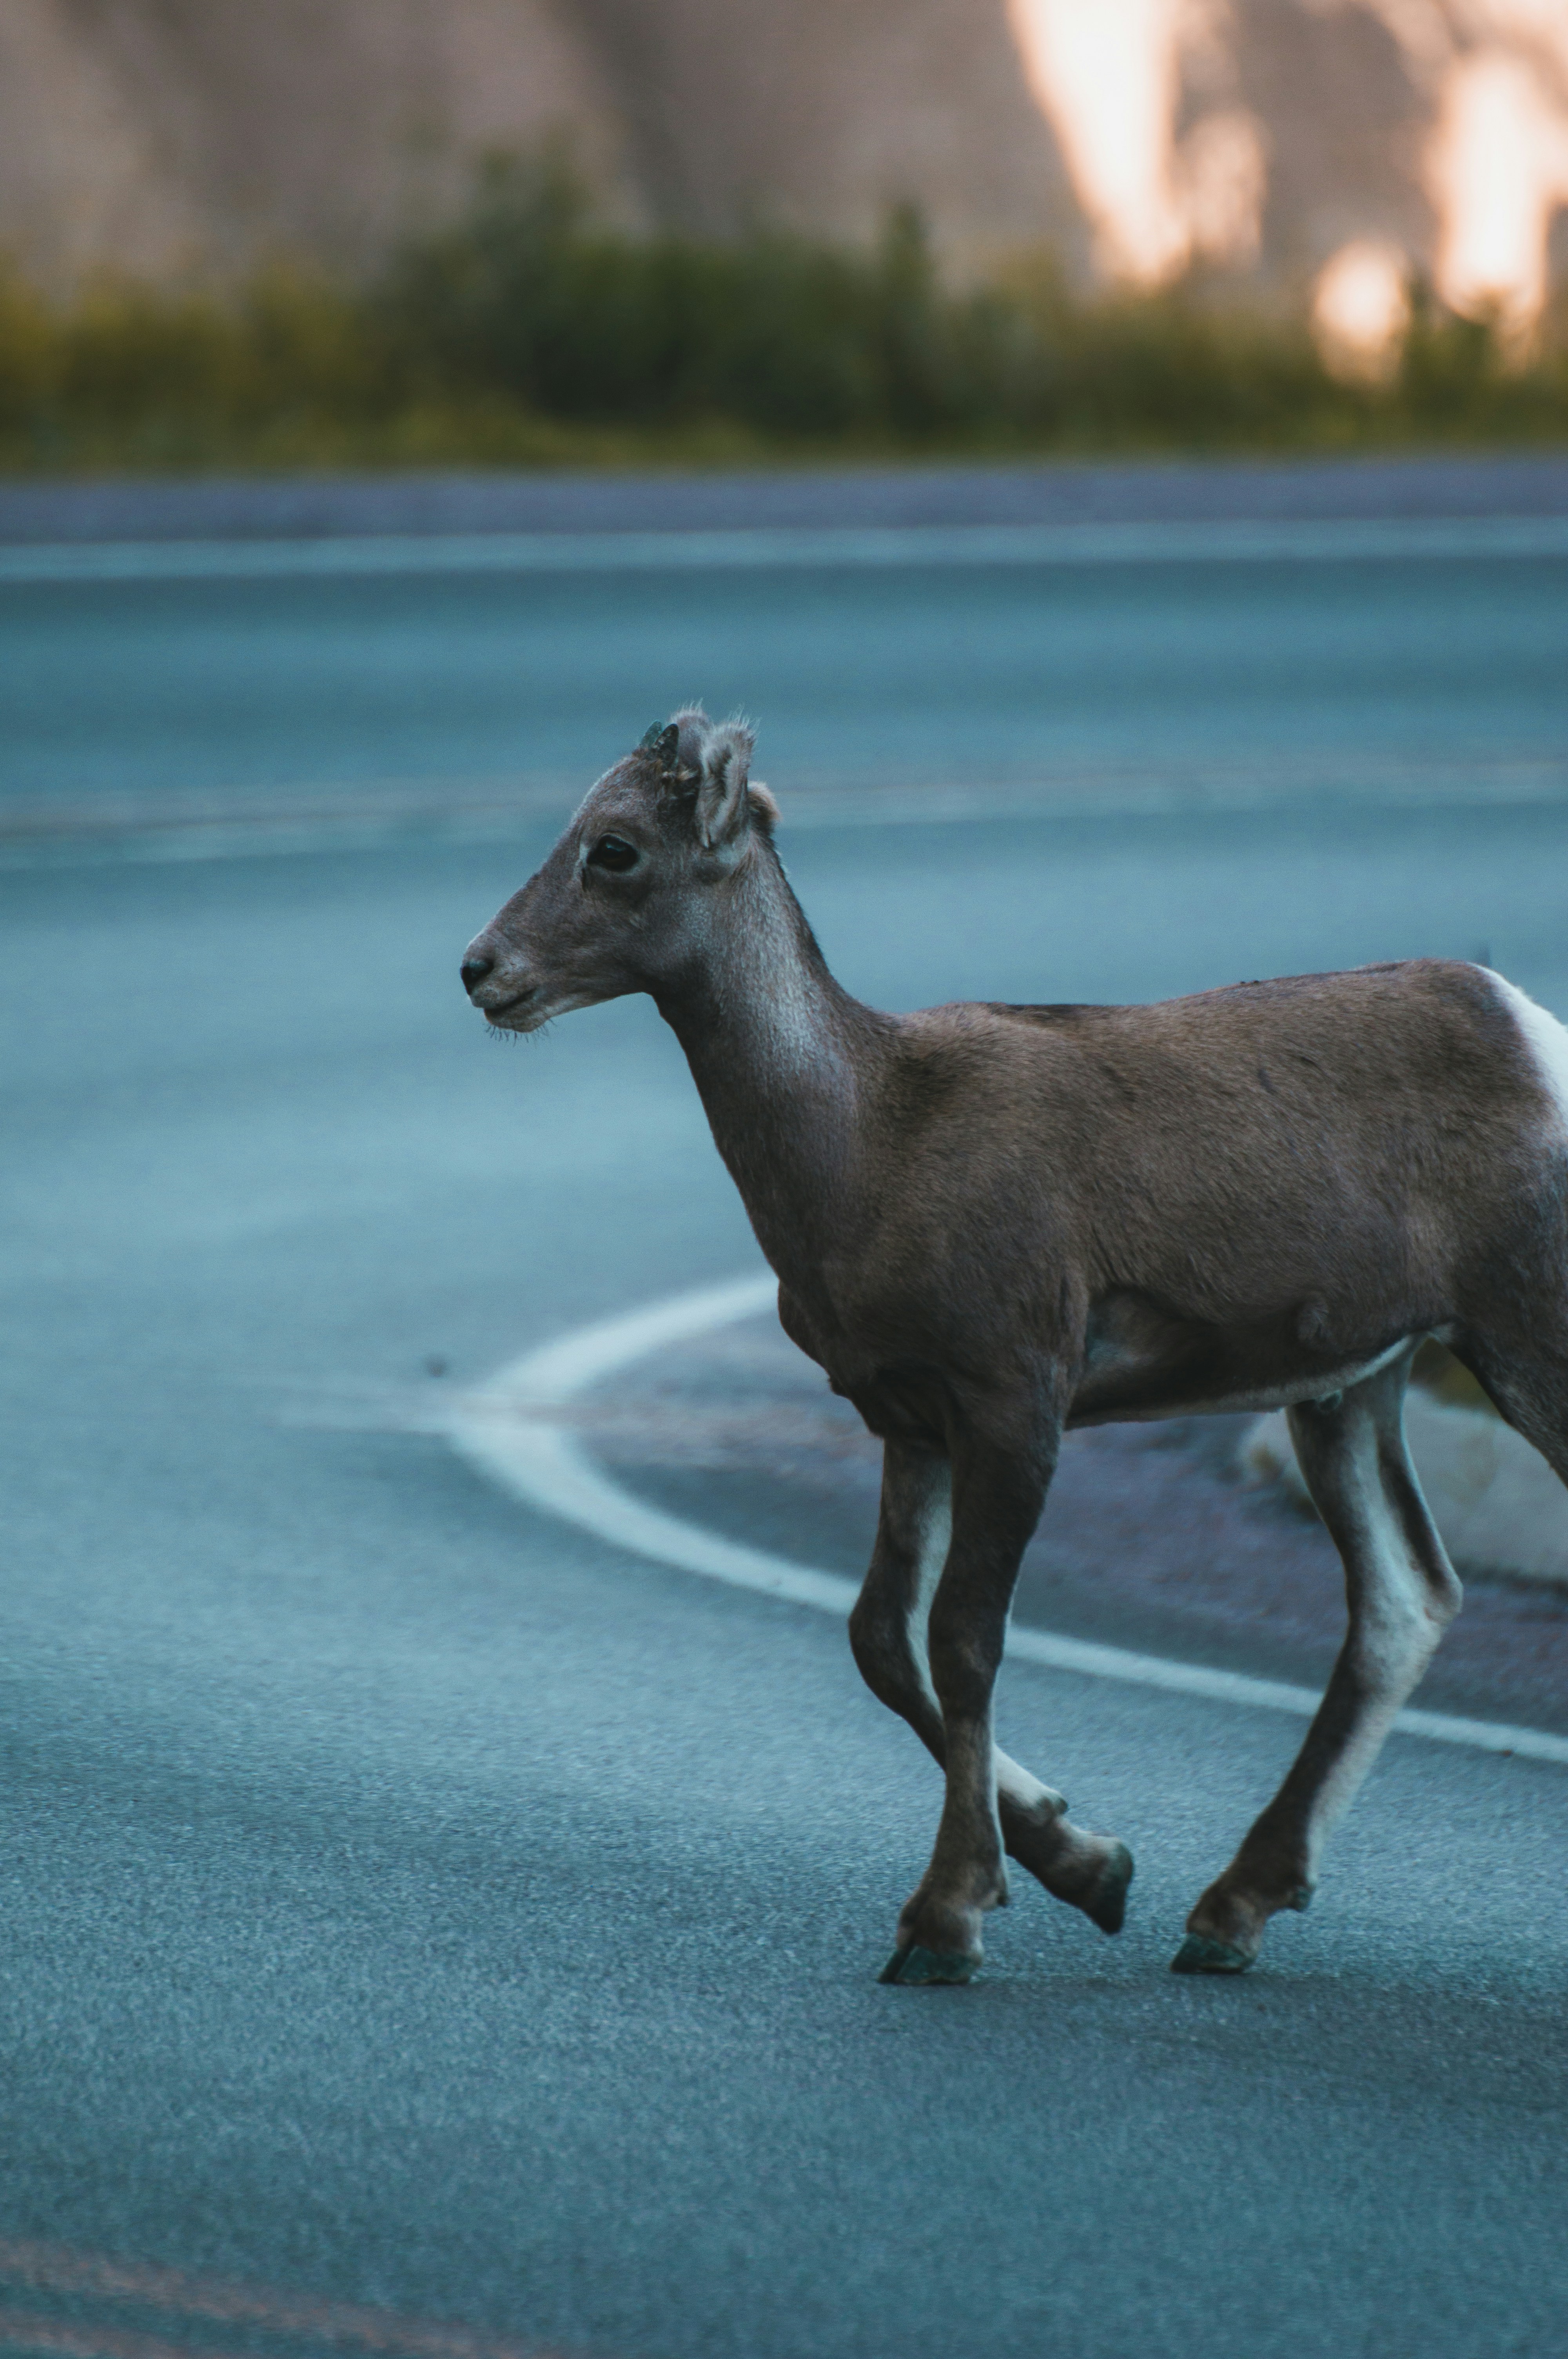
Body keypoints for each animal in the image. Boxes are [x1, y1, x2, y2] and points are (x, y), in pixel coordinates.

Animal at [461, 706, 1568, 1985]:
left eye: (617, 848)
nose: (482, 970)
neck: (865, 1145)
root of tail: (1536, 1038)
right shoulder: (910, 1421)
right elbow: (881, 1640)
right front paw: (1092, 1868)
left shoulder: (1014, 1401)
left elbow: (963, 1640)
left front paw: (947, 1921)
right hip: (1350, 1388)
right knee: (1404, 1597)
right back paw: (1228, 1910)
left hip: (1519, 1330)